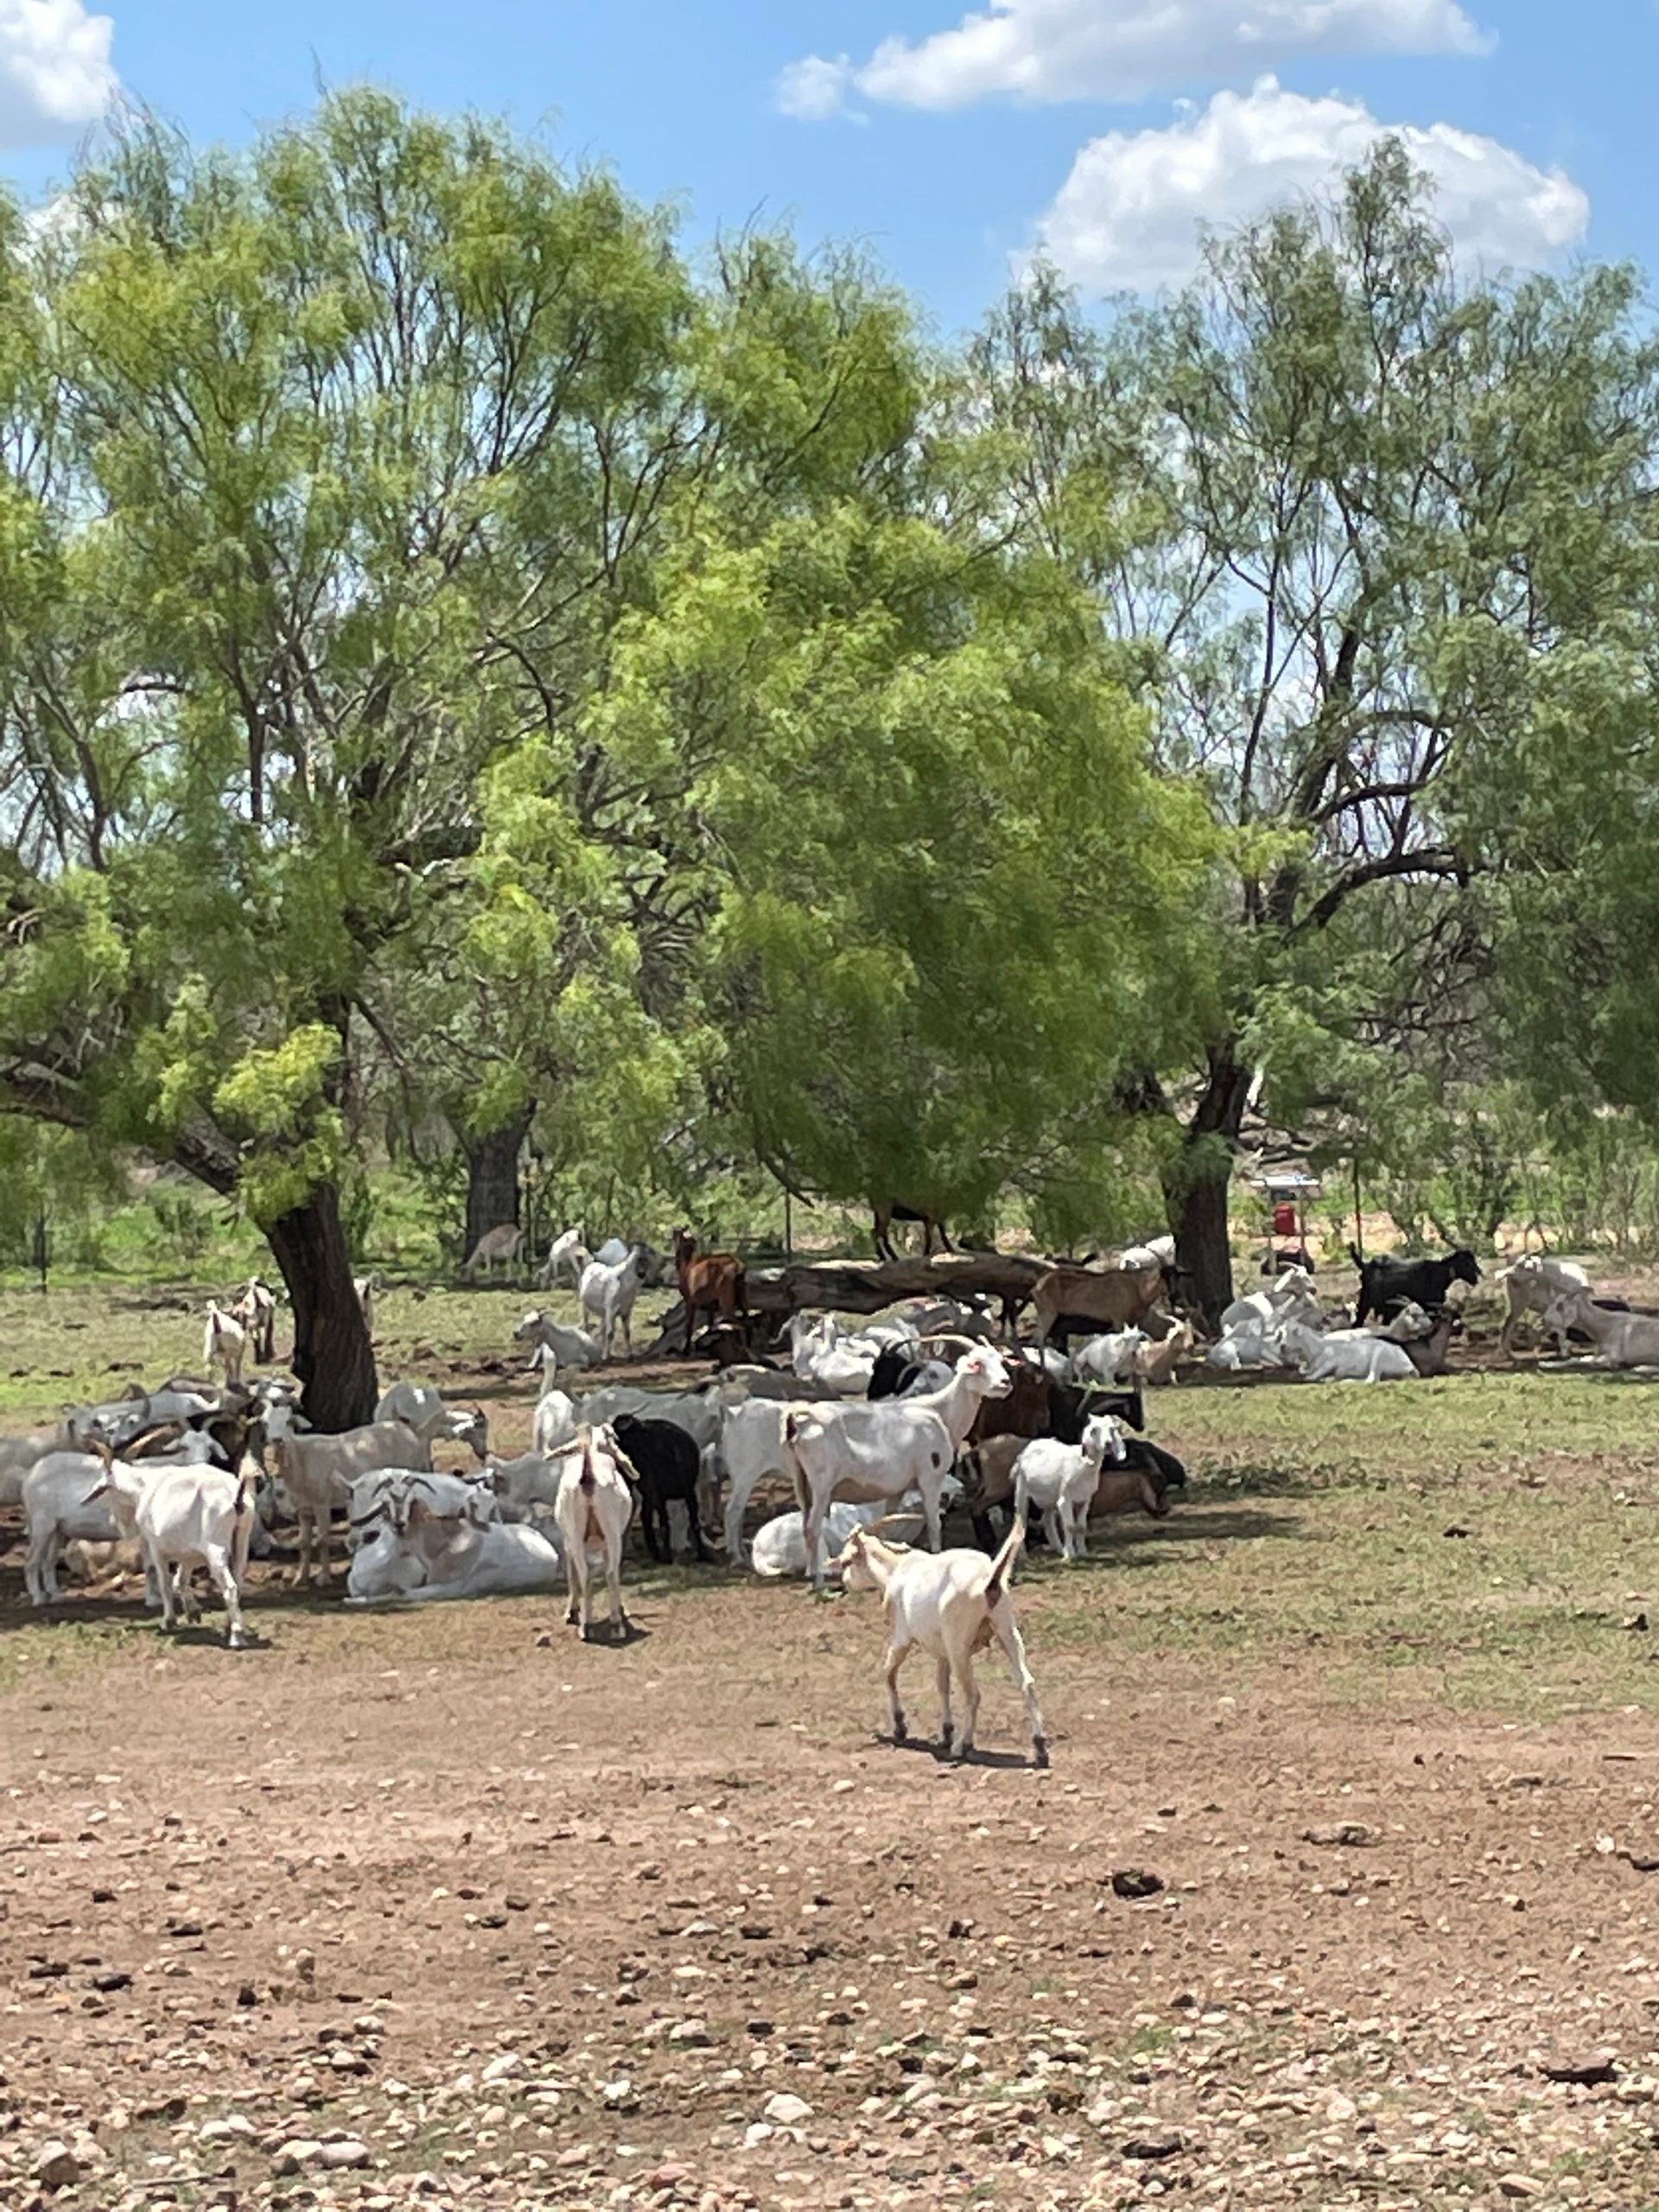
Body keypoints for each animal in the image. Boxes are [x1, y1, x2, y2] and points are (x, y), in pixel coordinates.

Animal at [555, 1428, 634, 1640]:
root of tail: (588, 1475)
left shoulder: (568, 1541)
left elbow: (572, 1572)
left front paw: (571, 1612)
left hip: (580, 1534)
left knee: (586, 1574)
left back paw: (588, 1626)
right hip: (611, 1533)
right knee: (610, 1572)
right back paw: (614, 1625)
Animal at [833, 1520, 1048, 1767]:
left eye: (847, 1561)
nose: (845, 1582)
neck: (897, 1570)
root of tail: (987, 1579)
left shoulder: (902, 1638)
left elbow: (888, 1673)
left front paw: (900, 1727)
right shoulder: (941, 1652)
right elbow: (942, 1685)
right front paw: (946, 1732)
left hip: (959, 1647)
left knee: (973, 1694)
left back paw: (961, 1746)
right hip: (1006, 1630)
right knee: (1026, 1682)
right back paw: (1040, 1747)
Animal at [1350, 1244, 1481, 1325]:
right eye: (1467, 1263)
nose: (1479, 1274)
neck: (1438, 1275)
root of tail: (1366, 1266)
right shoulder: (1429, 1307)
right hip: (1366, 1302)